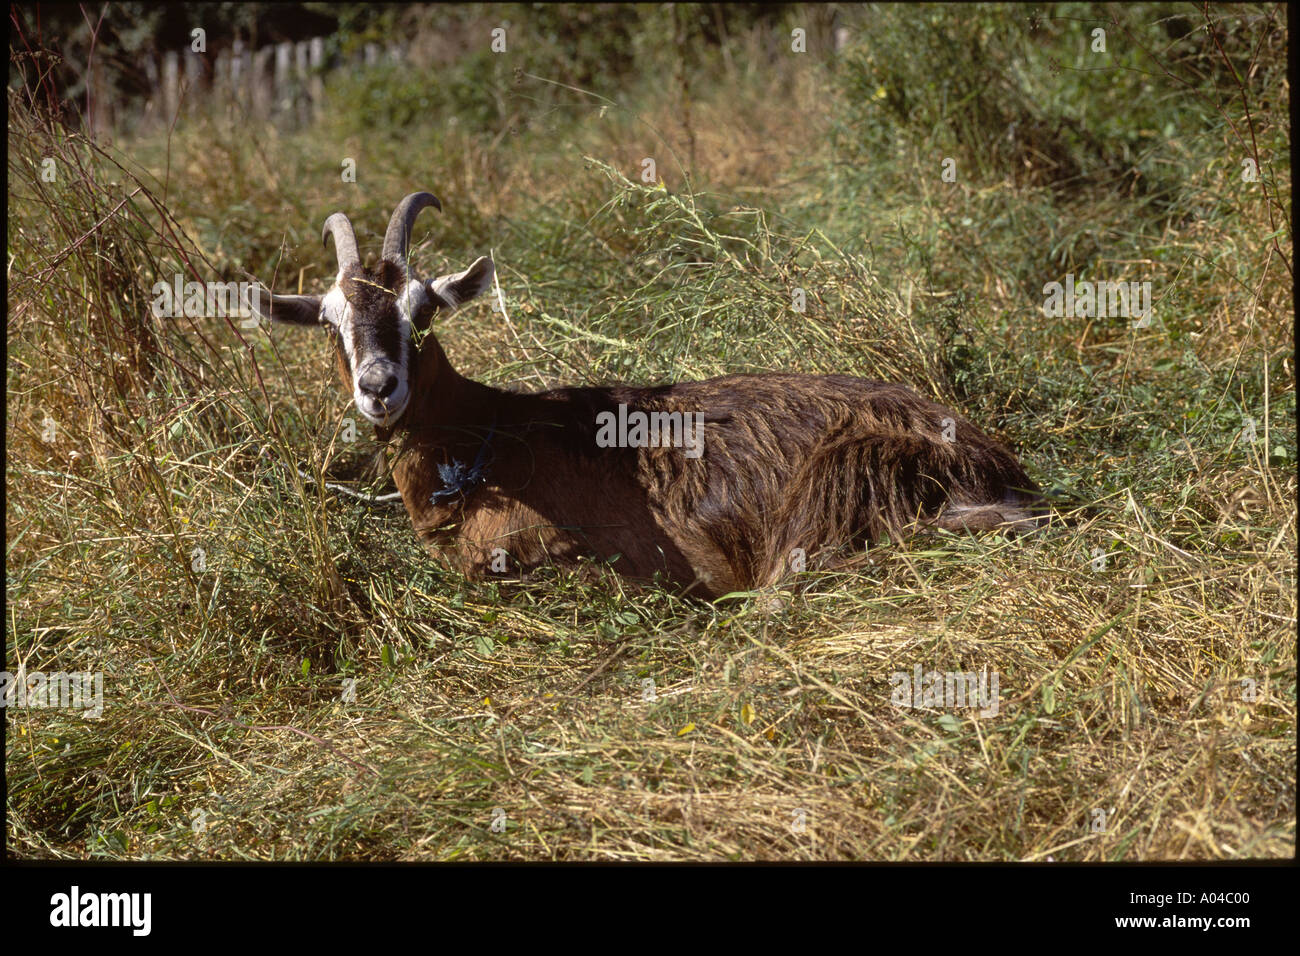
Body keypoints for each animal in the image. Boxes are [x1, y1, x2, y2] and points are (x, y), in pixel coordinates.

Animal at [252, 192, 1044, 599]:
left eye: (422, 312)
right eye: (331, 321)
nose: (378, 388)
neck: (488, 440)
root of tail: (998, 465)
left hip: (843, 471)